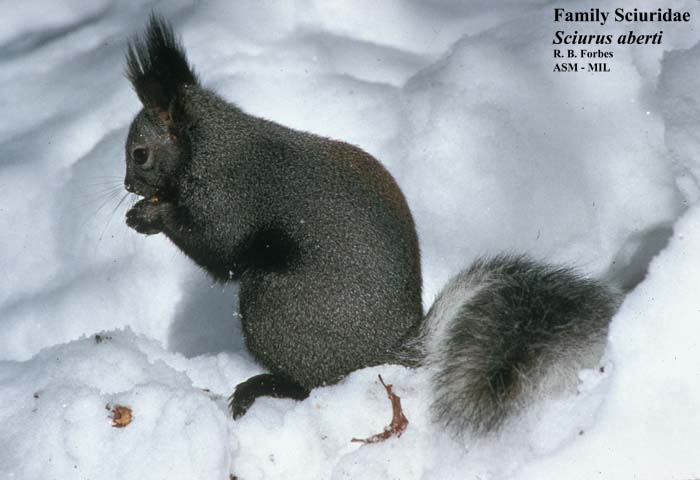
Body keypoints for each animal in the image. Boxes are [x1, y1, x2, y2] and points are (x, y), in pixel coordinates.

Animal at [123, 16, 621, 435]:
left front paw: (150, 216)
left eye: (140, 154)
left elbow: (219, 252)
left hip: (276, 306)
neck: (209, 149)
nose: (127, 185)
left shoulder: (229, 199)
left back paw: (265, 386)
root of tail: (387, 352)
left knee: (313, 382)